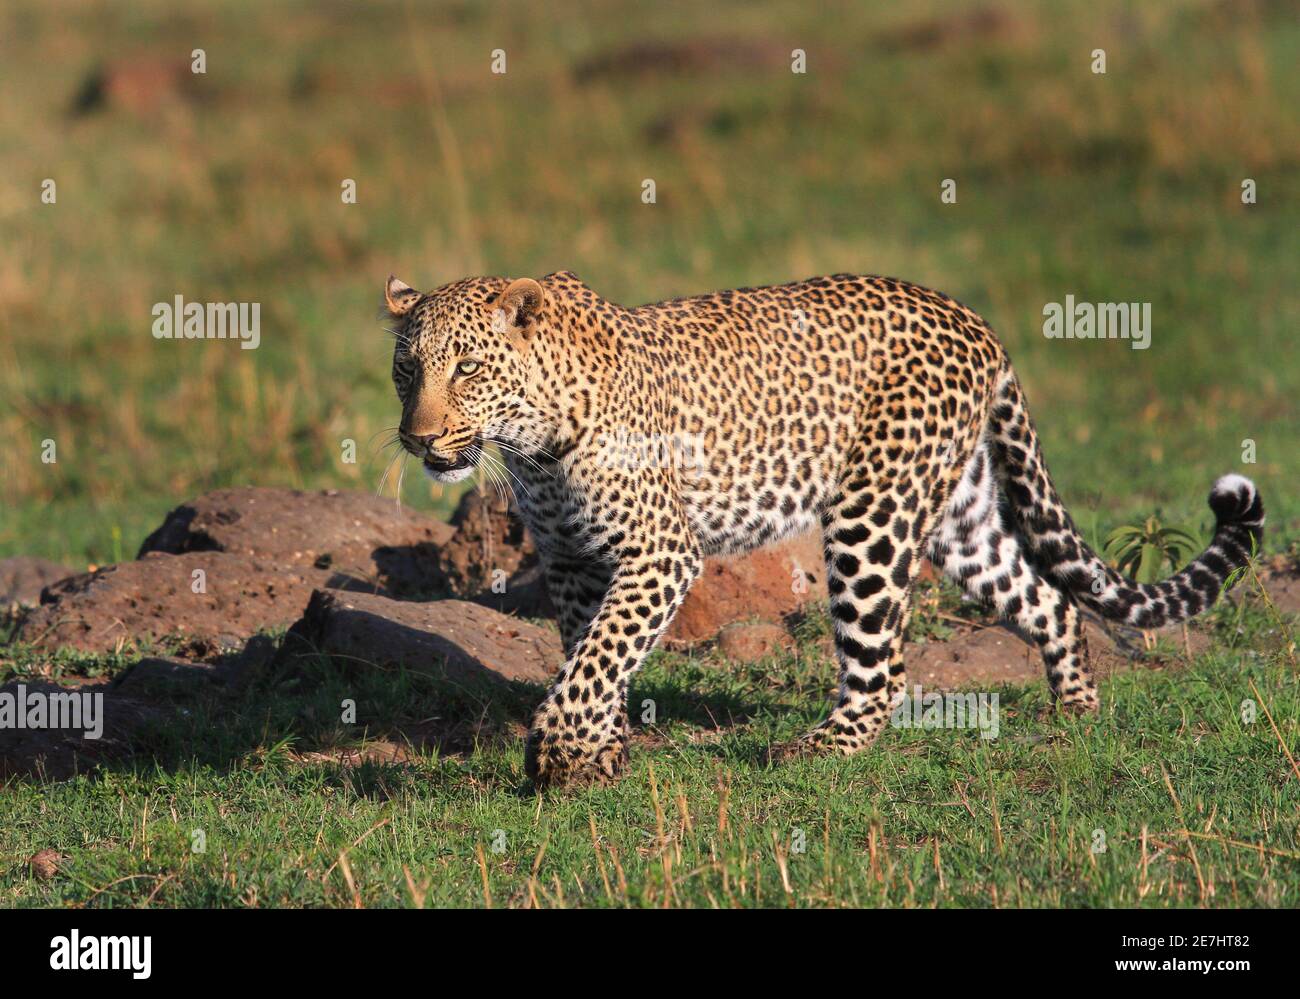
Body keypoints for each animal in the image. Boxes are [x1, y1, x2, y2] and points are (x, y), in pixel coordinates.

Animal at [384, 270, 1264, 789]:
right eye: (407, 369)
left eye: (467, 367)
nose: (418, 437)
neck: (531, 445)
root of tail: (972, 318)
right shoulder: (573, 562)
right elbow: (590, 655)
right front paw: (596, 755)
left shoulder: (660, 552)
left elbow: (599, 657)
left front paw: (557, 749)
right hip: (958, 516)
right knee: (1049, 598)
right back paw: (1075, 711)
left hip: (871, 516)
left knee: (885, 670)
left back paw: (815, 749)